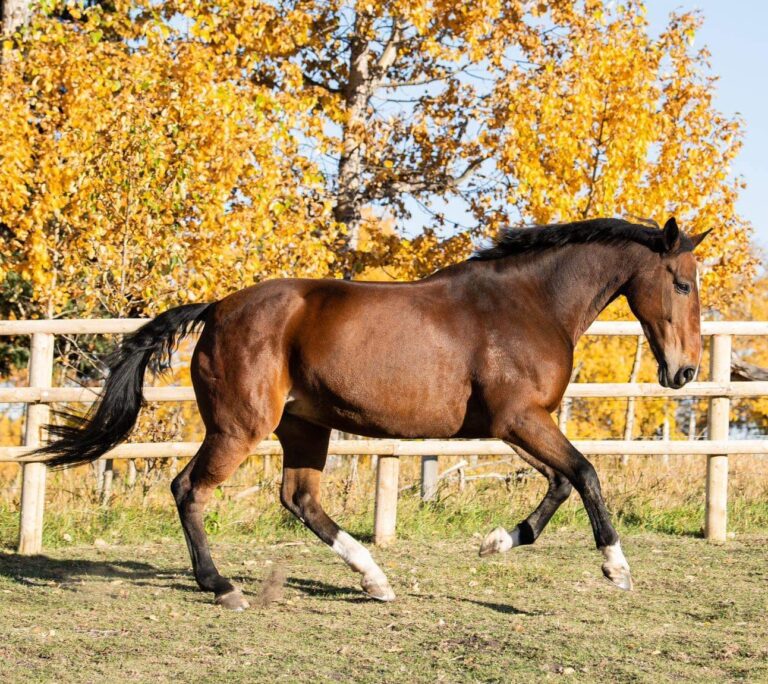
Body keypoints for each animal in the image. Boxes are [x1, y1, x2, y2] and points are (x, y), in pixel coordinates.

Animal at [37, 216, 709, 610]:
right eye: (681, 283)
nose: (684, 373)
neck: (529, 303)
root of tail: (219, 308)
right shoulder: (520, 419)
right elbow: (587, 474)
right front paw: (617, 570)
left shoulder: (515, 424)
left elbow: (561, 482)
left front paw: (497, 542)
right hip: (240, 428)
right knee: (188, 489)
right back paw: (223, 587)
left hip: (305, 425)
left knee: (298, 500)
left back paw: (374, 579)